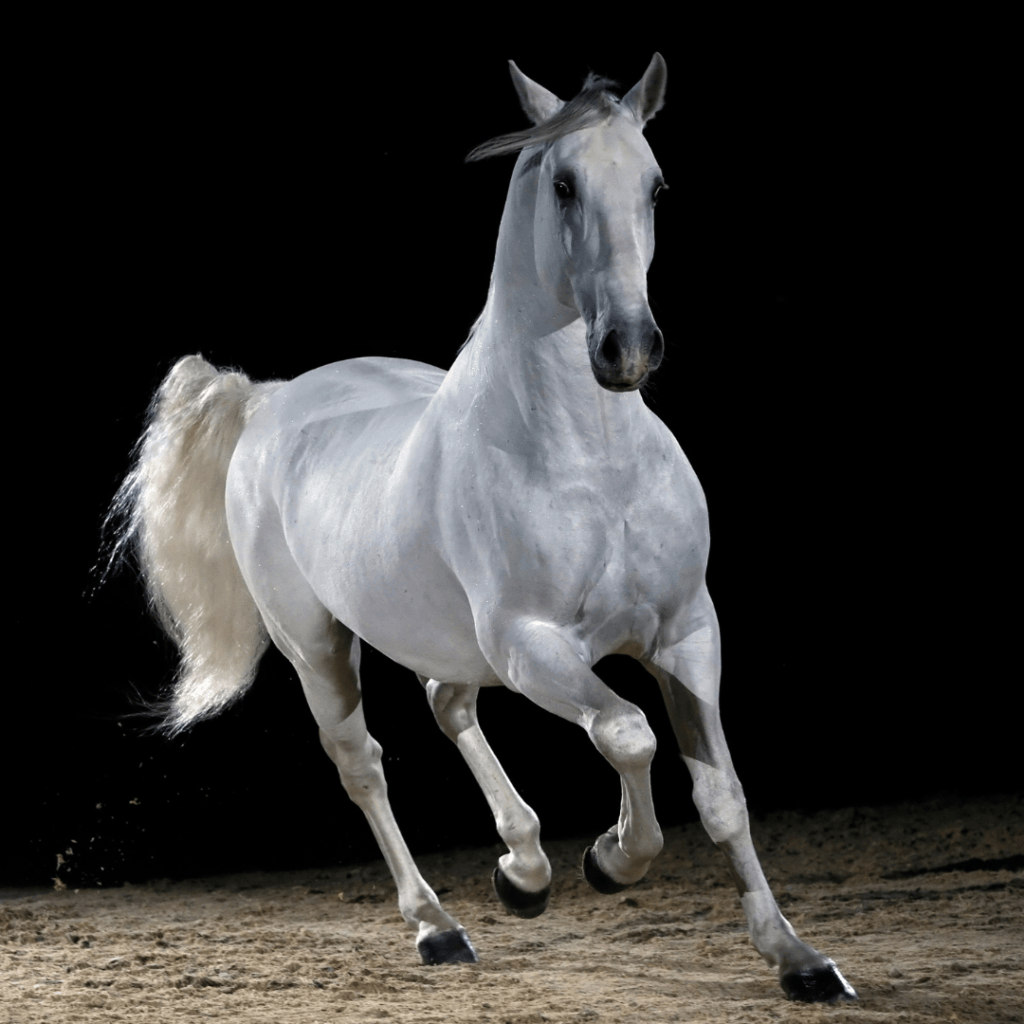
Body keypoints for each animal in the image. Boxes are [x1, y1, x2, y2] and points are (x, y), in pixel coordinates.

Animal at [109, 54, 856, 1002]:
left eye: (656, 184)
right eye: (565, 184)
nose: (628, 350)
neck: (593, 464)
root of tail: (271, 400)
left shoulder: (687, 634)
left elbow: (722, 794)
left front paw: (800, 960)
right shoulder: (532, 646)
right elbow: (628, 733)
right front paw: (611, 860)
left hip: (446, 639)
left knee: (448, 704)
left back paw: (523, 871)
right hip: (316, 644)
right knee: (361, 761)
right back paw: (439, 926)